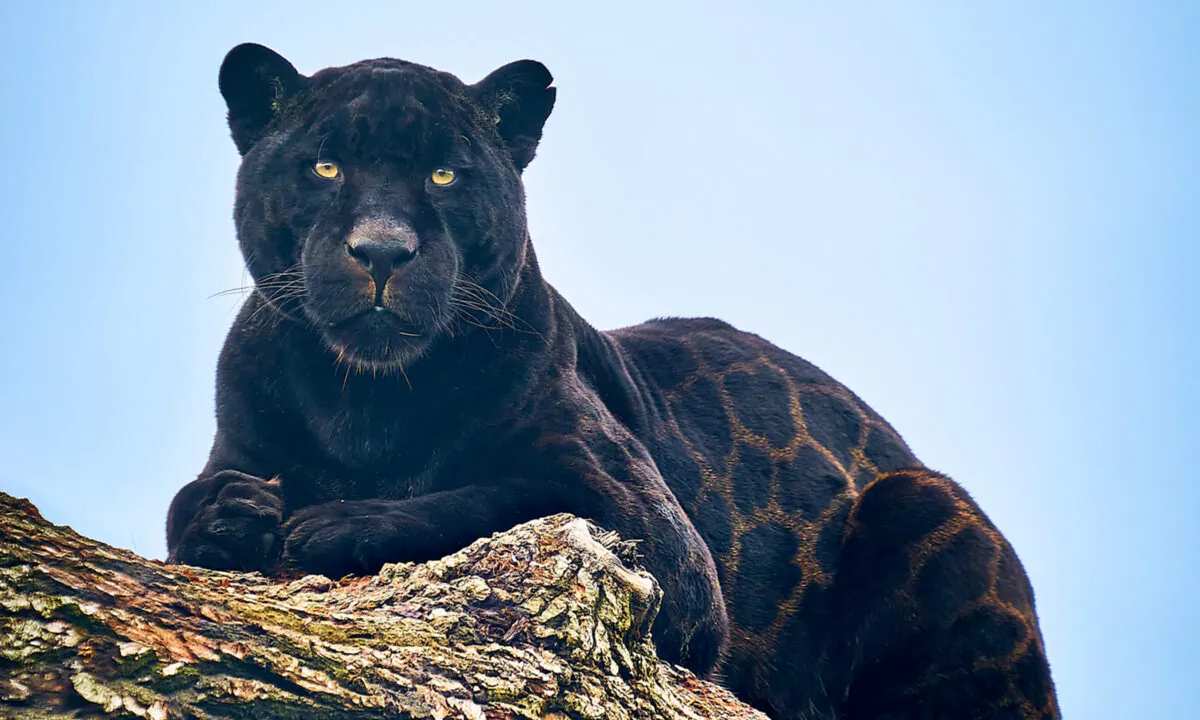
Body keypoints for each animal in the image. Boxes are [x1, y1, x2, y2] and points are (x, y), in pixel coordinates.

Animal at [166, 43, 1060, 719]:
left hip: (922, 500)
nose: (382, 250)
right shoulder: (239, 442)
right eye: (324, 167)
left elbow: (509, 498)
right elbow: (185, 504)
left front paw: (338, 522)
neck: (367, 405)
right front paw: (233, 511)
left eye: (444, 177)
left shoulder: (660, 545)